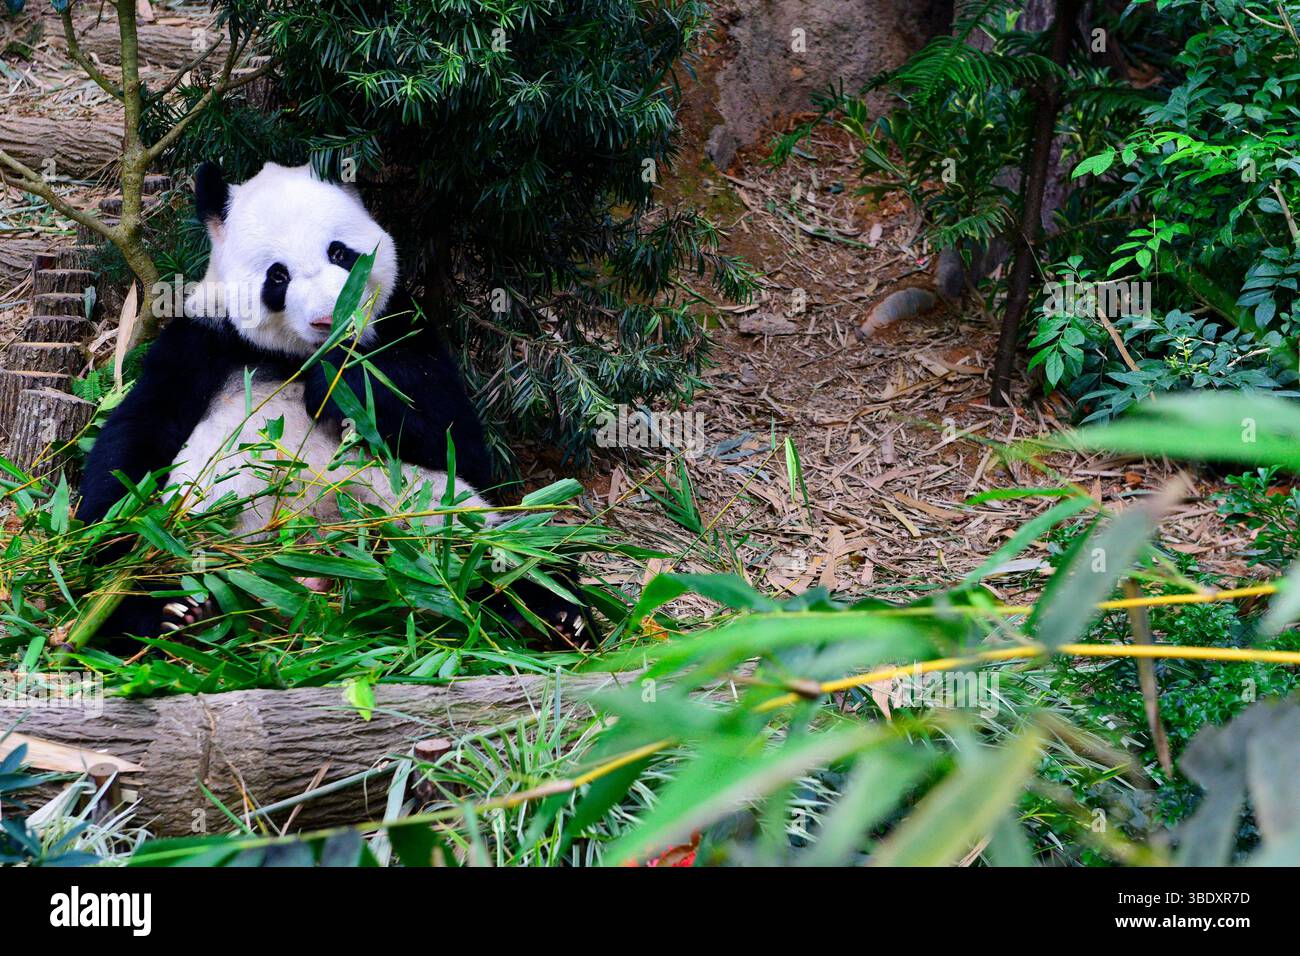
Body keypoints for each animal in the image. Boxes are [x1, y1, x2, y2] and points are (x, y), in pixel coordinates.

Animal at [77, 161, 584, 644]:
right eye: (277, 276)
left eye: (339, 252)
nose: (329, 317)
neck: (298, 355)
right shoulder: (203, 340)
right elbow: (137, 438)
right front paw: (101, 535)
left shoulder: (403, 328)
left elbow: (459, 441)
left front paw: (337, 389)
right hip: (201, 541)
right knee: (153, 569)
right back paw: (172, 613)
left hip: (430, 515)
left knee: (499, 551)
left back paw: (552, 612)